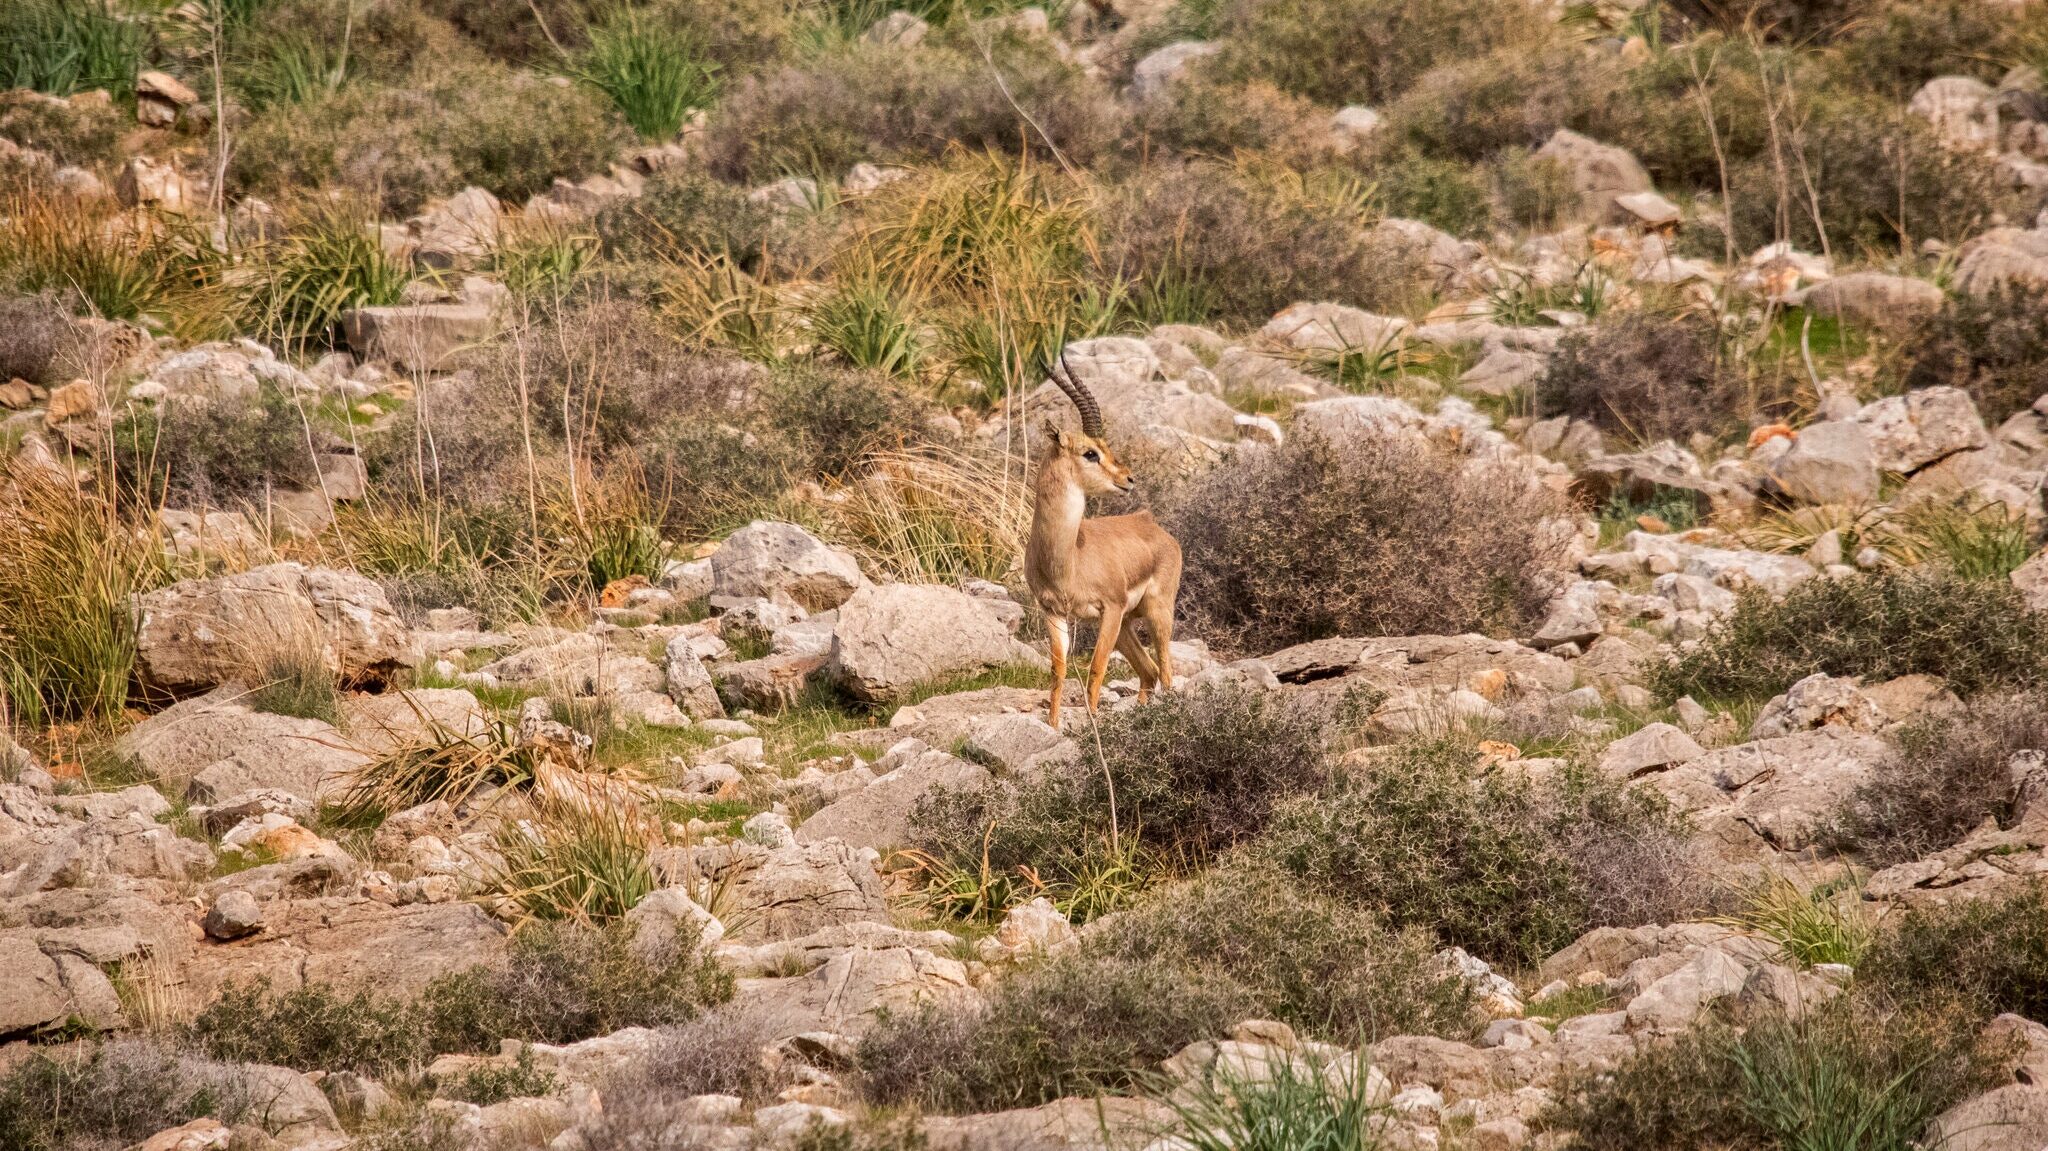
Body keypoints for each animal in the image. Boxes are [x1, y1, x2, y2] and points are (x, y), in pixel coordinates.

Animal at [1026, 353, 1183, 729]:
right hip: (1126, 624)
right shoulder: (1053, 612)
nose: (1128, 478)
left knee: (1165, 670)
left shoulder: (1109, 608)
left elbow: (1096, 668)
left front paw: (1092, 723)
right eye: (1090, 453)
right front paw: (1054, 725)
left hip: (1156, 613)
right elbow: (1058, 671)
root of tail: (1149, 522)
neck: (1067, 558)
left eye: (1105, 448)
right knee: (1149, 671)